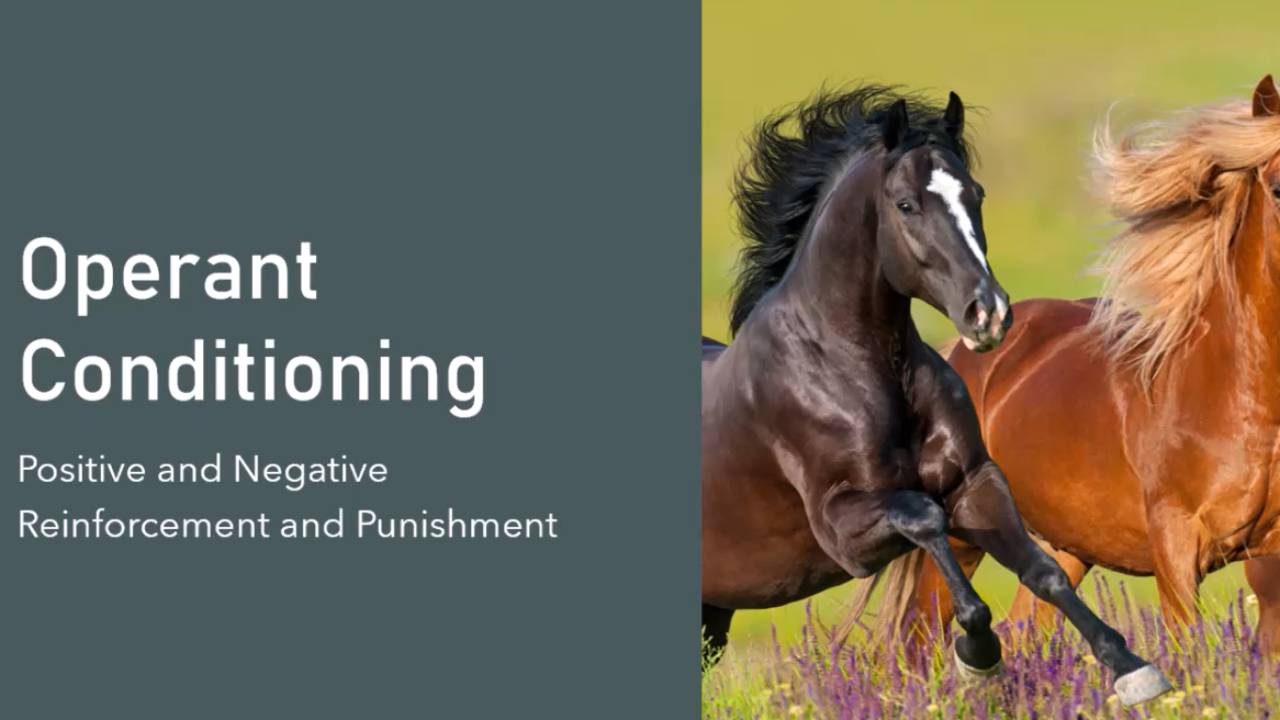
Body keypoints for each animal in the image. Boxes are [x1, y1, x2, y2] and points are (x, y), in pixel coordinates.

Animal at [700, 84, 1172, 706]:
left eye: (976, 193)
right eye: (905, 205)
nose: (987, 313)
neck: (853, 367)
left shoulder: (974, 482)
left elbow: (1042, 571)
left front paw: (1131, 668)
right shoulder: (841, 531)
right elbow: (925, 518)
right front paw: (978, 653)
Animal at [886, 75, 1280, 654]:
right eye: (1276, 186)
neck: (1235, 393)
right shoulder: (1176, 549)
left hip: (1066, 547)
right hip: (961, 539)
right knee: (918, 643)